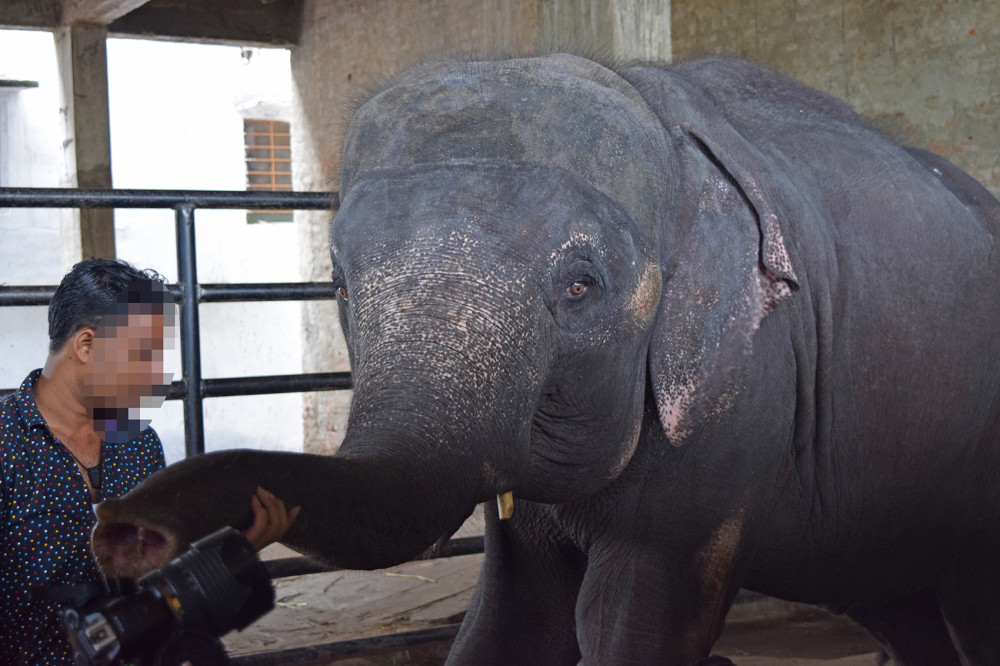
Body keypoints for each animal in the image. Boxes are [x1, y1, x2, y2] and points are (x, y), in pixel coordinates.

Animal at [91, 53, 1000, 665]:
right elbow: (512, 615)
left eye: (580, 285)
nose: (123, 534)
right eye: (340, 287)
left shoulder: (743, 387)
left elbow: (629, 617)